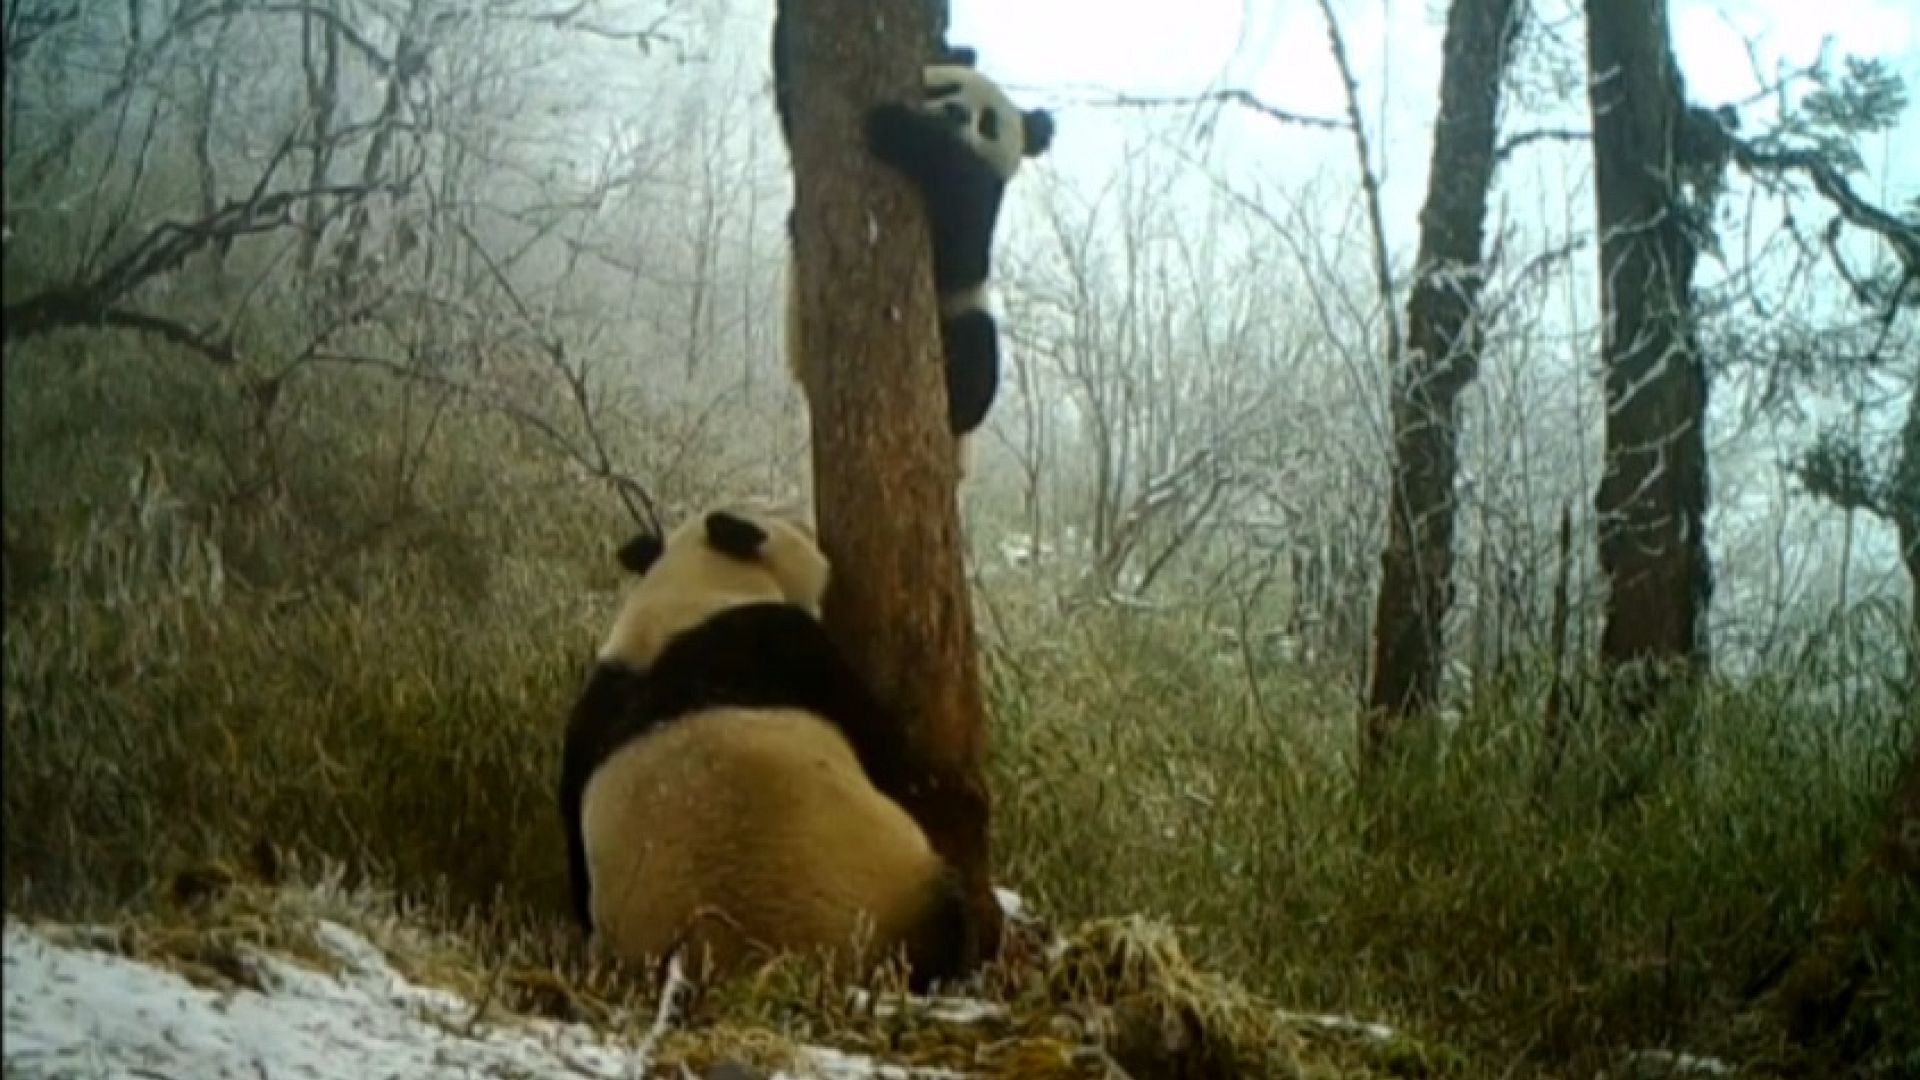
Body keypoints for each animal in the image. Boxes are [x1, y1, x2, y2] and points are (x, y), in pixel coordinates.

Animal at [557, 506, 976, 990]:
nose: (812, 527)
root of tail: (756, 965)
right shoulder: (783, 642)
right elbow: (882, 748)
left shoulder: (594, 708)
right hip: (881, 890)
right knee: (948, 918)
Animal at [774, 34, 1054, 474]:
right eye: (945, 88)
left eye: (988, 122)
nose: (955, 113)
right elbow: (794, 118)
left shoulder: (982, 199)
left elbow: (961, 251)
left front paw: (900, 129)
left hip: (960, 323)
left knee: (977, 349)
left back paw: (958, 402)